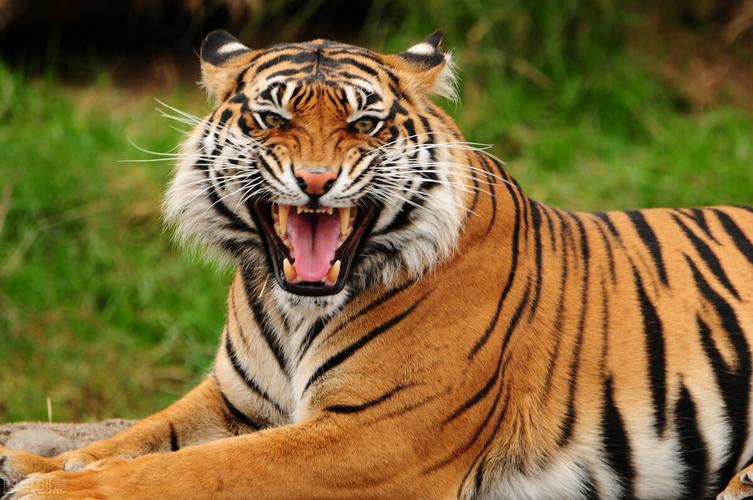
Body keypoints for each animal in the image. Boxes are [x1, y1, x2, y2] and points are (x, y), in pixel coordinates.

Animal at [2, 28, 753, 500]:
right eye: (271, 119)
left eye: (364, 125)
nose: (314, 181)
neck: (292, 309)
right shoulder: (235, 402)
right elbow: (138, 438)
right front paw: (31, 461)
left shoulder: (376, 437)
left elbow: (193, 473)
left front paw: (49, 488)